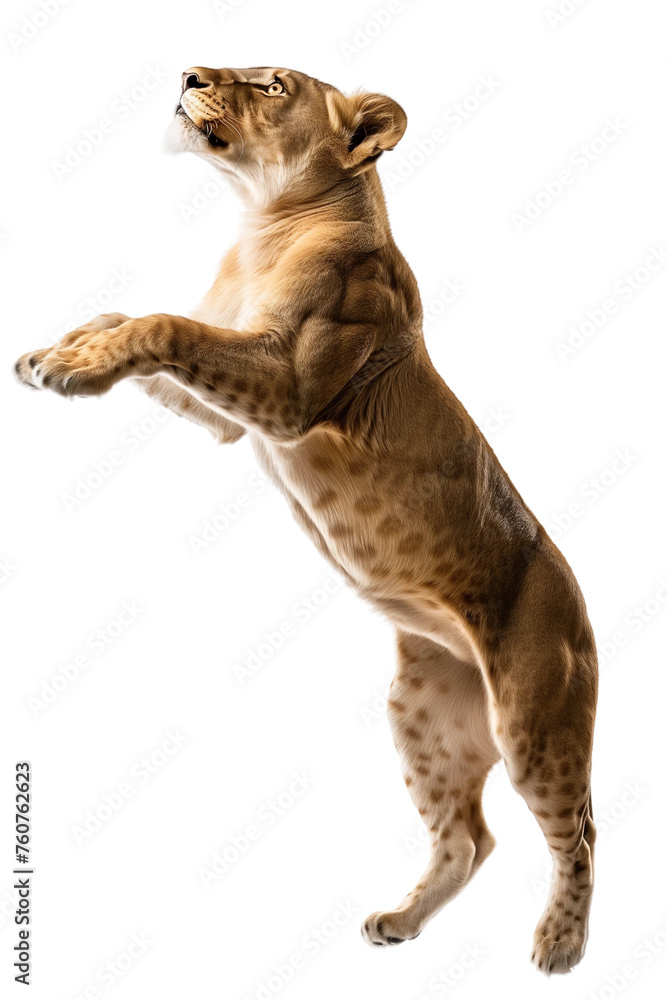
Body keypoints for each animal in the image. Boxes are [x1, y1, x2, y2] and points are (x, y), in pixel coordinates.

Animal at [14, 66, 597, 974]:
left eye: (270, 83)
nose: (188, 72)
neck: (260, 224)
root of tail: (579, 607)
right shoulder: (228, 411)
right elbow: (128, 319)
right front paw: (59, 352)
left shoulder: (289, 387)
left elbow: (161, 321)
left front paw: (68, 367)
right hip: (423, 711)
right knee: (469, 837)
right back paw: (398, 922)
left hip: (534, 722)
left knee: (579, 835)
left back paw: (559, 943)